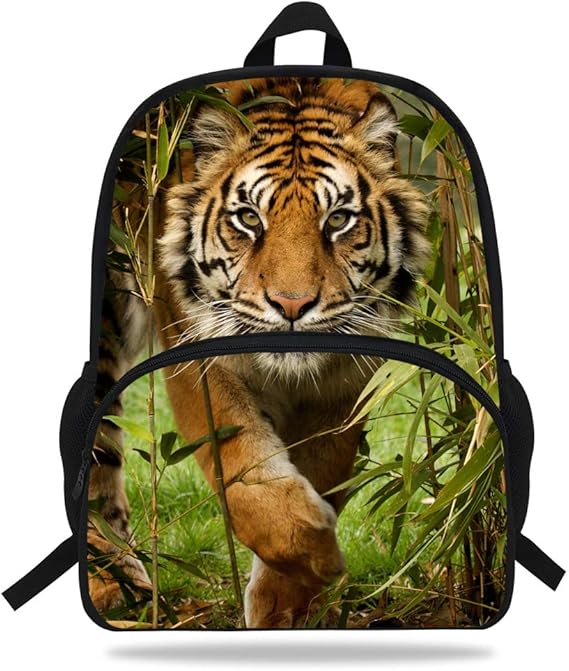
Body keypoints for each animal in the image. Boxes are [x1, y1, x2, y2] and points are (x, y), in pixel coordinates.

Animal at [87, 77, 431, 628]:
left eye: (338, 220)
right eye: (249, 218)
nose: (292, 305)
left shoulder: (347, 381)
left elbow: (322, 467)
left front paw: (286, 603)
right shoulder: (199, 355)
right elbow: (241, 466)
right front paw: (317, 558)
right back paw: (113, 584)